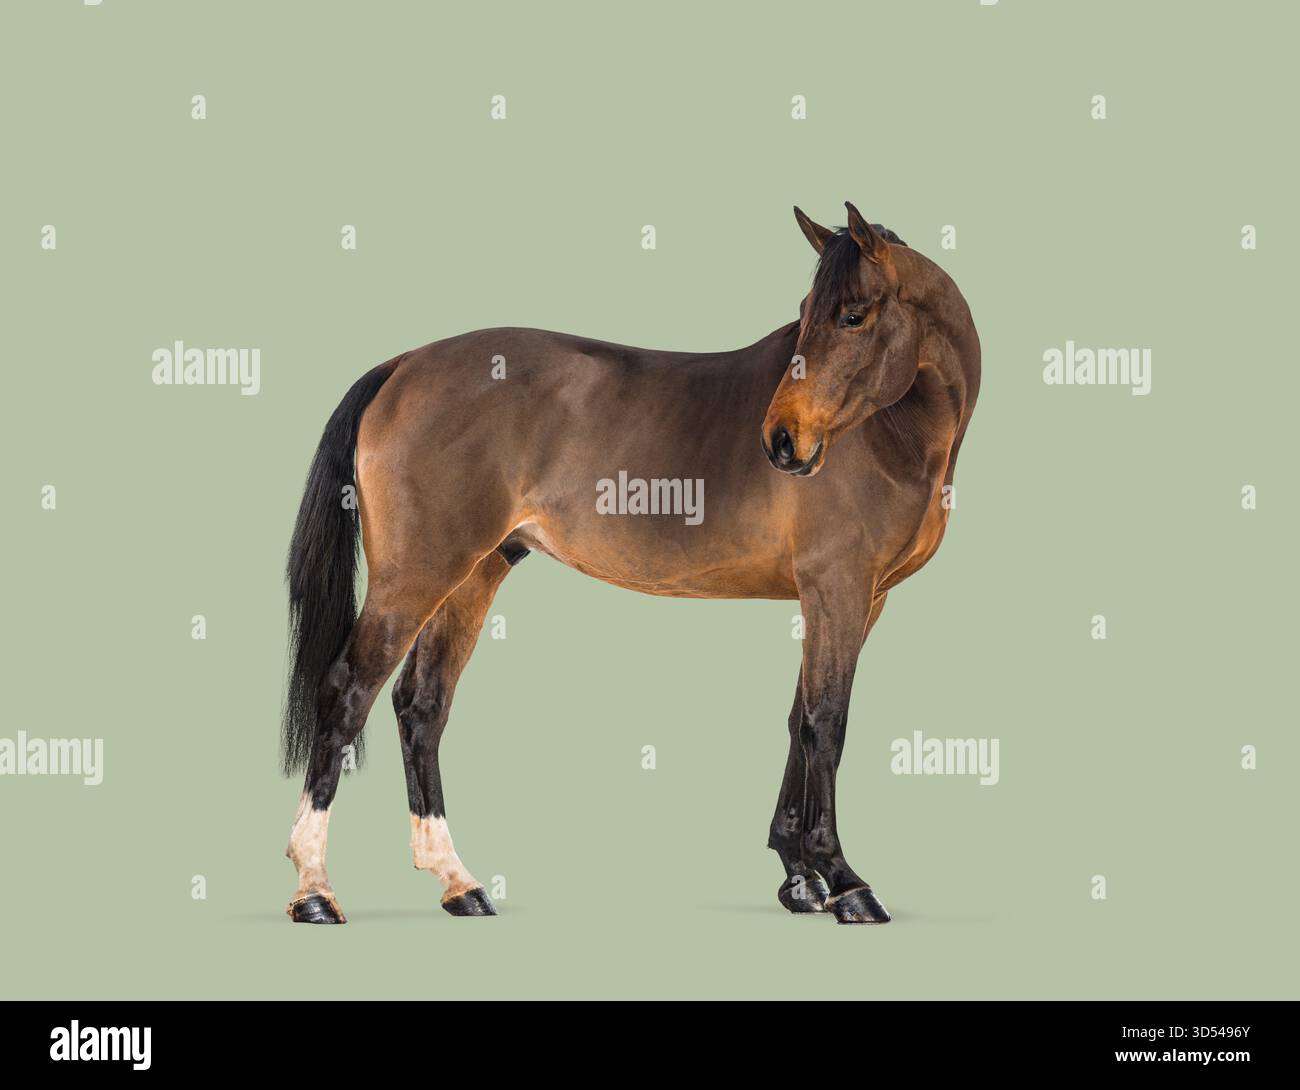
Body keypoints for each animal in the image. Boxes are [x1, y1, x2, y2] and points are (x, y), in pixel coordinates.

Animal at [282, 202, 980, 925]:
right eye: (809, 312)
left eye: (852, 315)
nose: (782, 442)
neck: (892, 437)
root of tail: (403, 365)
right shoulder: (837, 588)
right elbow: (826, 724)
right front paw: (843, 880)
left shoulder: (858, 599)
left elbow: (798, 719)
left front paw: (799, 877)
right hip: (416, 576)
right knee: (347, 691)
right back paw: (314, 890)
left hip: (472, 576)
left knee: (421, 707)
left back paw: (459, 883)